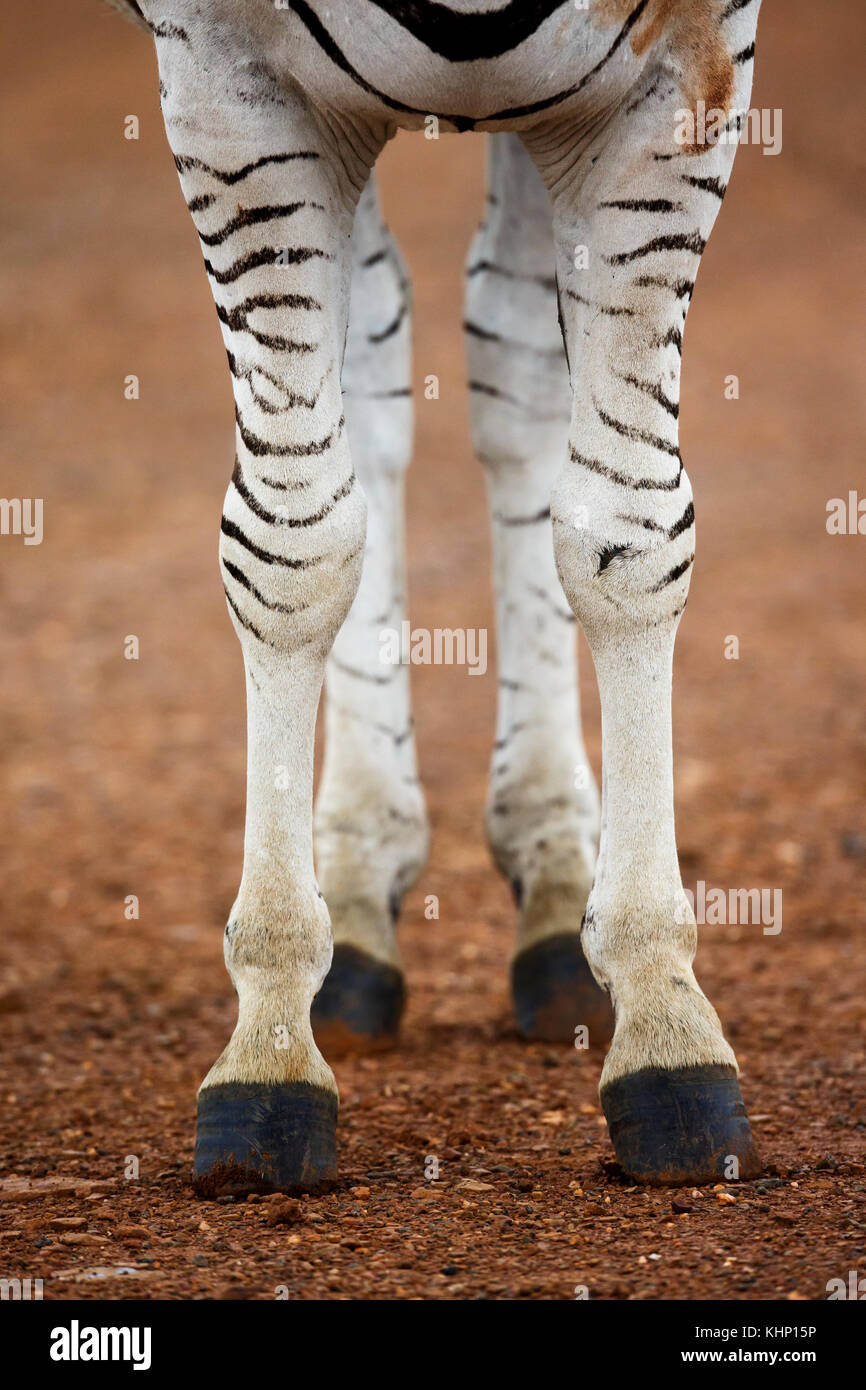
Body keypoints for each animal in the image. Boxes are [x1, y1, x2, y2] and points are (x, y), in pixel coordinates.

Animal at [106, 0, 764, 1193]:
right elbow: (293, 541)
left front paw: (663, 1013)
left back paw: (556, 881)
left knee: (515, 359)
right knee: (371, 372)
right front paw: (270, 1037)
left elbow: (625, 531)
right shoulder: (225, 75)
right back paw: (360, 879)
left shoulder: (682, 72)